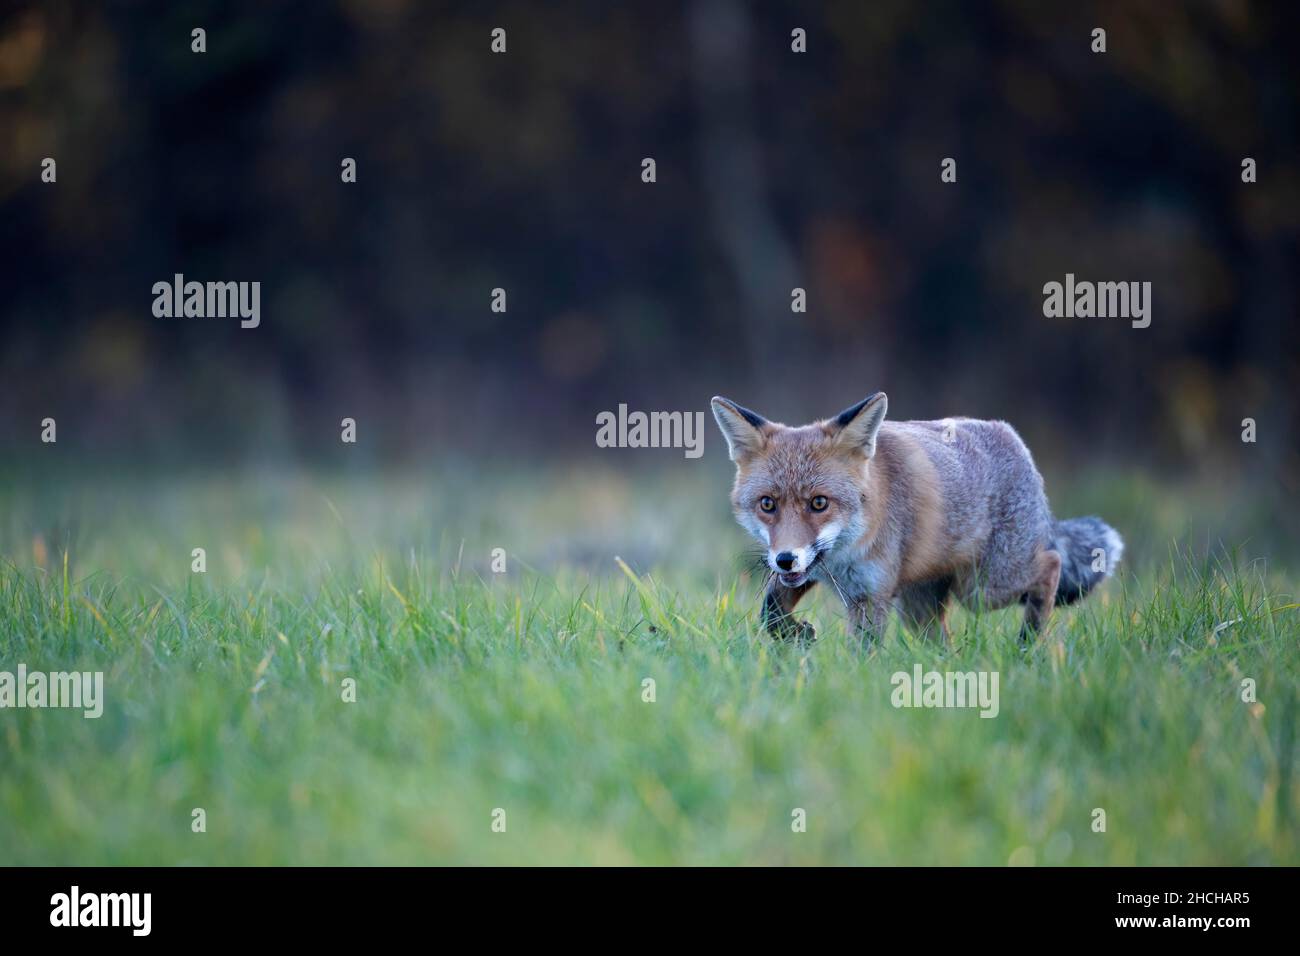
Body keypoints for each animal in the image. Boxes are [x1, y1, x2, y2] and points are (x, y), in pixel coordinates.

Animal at [710, 392, 1123, 644]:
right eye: (767, 504)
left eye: (819, 503)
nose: (784, 558)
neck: (845, 553)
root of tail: (1011, 436)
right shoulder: (811, 571)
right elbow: (770, 613)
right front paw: (797, 635)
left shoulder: (869, 596)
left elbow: (861, 655)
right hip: (920, 609)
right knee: (943, 646)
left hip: (983, 588)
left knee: (1050, 565)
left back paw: (1028, 644)